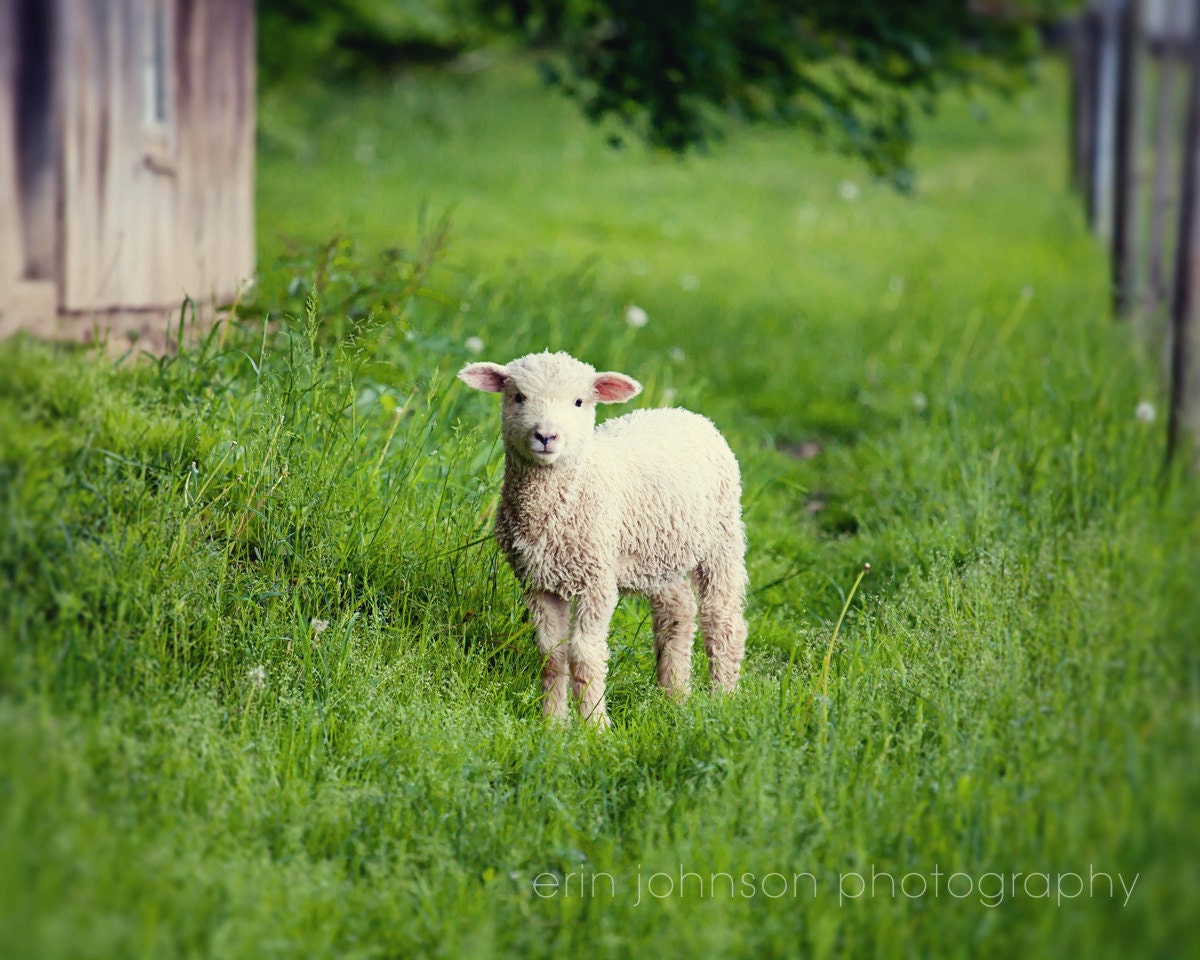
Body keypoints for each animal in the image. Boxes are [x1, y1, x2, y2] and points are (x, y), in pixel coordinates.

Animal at [458, 350, 747, 728]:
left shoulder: (596, 581)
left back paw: (723, 702)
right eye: (518, 397)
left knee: (722, 620)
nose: (546, 436)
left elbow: (584, 654)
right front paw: (552, 724)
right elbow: (552, 654)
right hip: (656, 554)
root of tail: (686, 413)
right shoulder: (536, 581)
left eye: (579, 401)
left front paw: (595, 726)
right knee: (678, 609)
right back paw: (673, 696)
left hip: (722, 535)